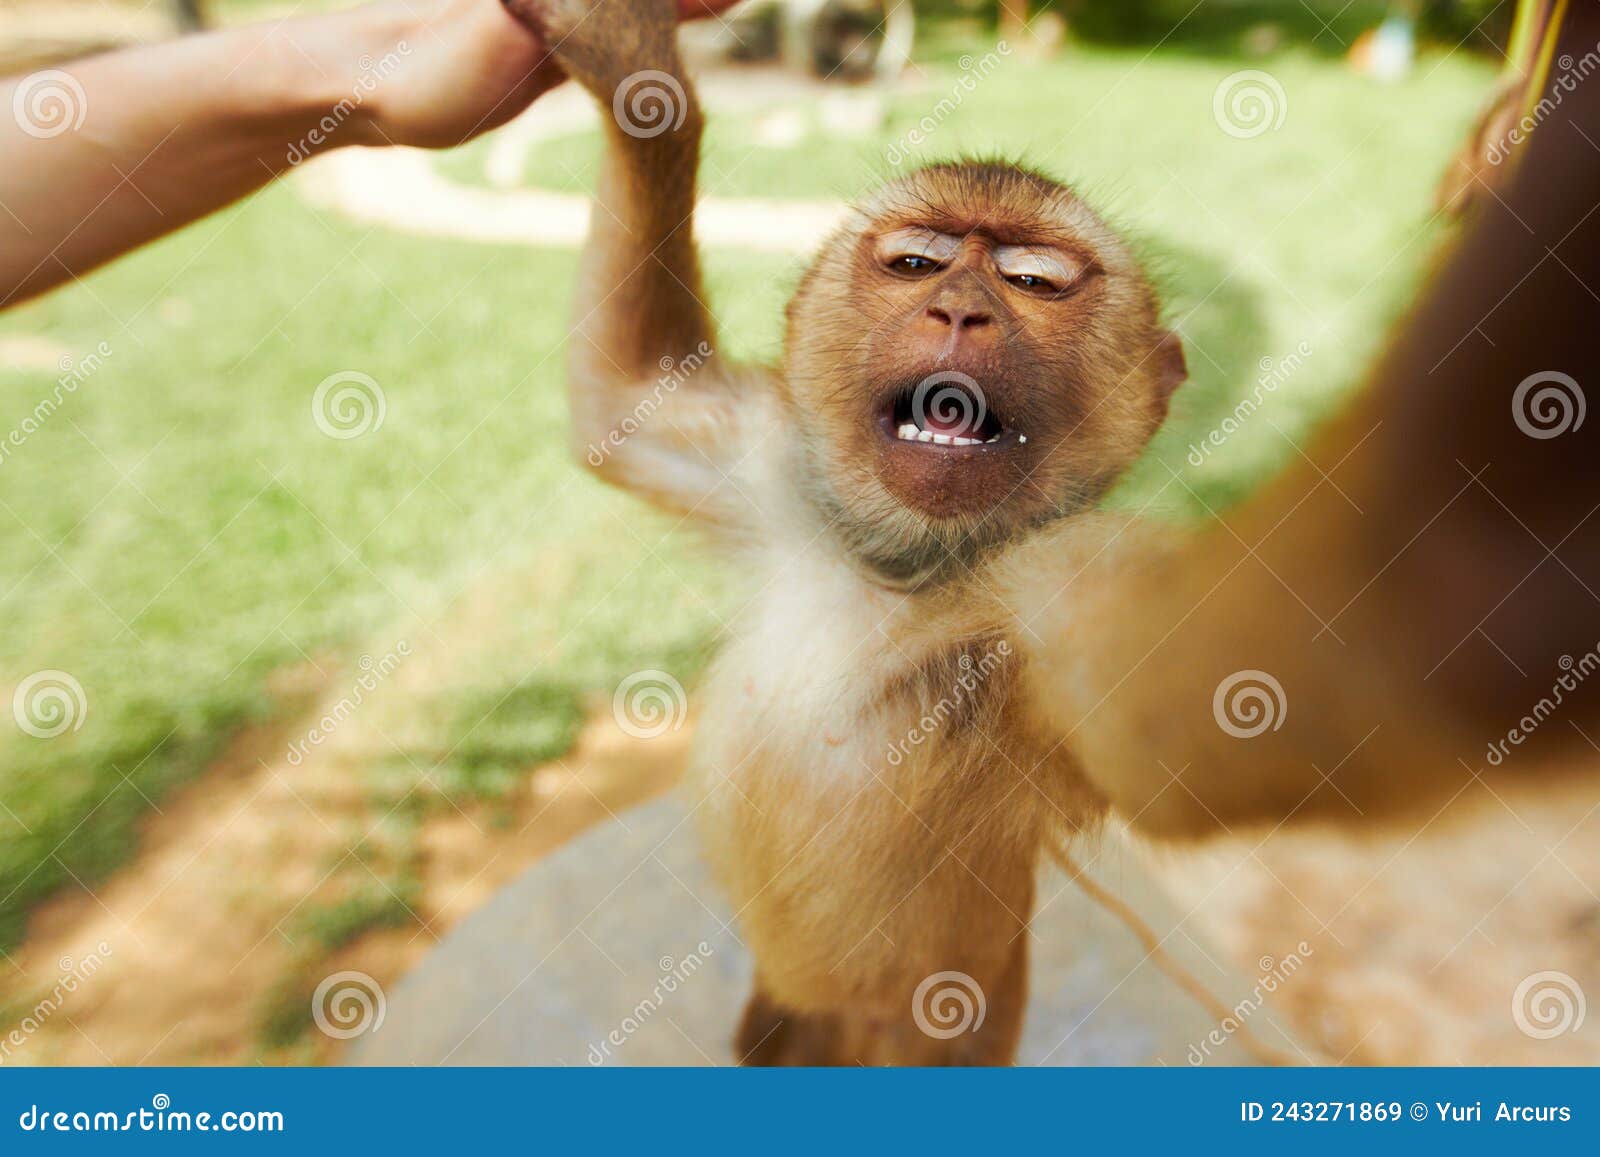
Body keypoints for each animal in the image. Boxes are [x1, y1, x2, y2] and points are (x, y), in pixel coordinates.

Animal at [514, 0, 1186, 1065]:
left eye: (1035, 282)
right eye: (916, 263)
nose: (960, 309)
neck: (906, 568)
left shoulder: (1075, 586)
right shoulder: (770, 470)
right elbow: (617, 403)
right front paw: (636, 74)